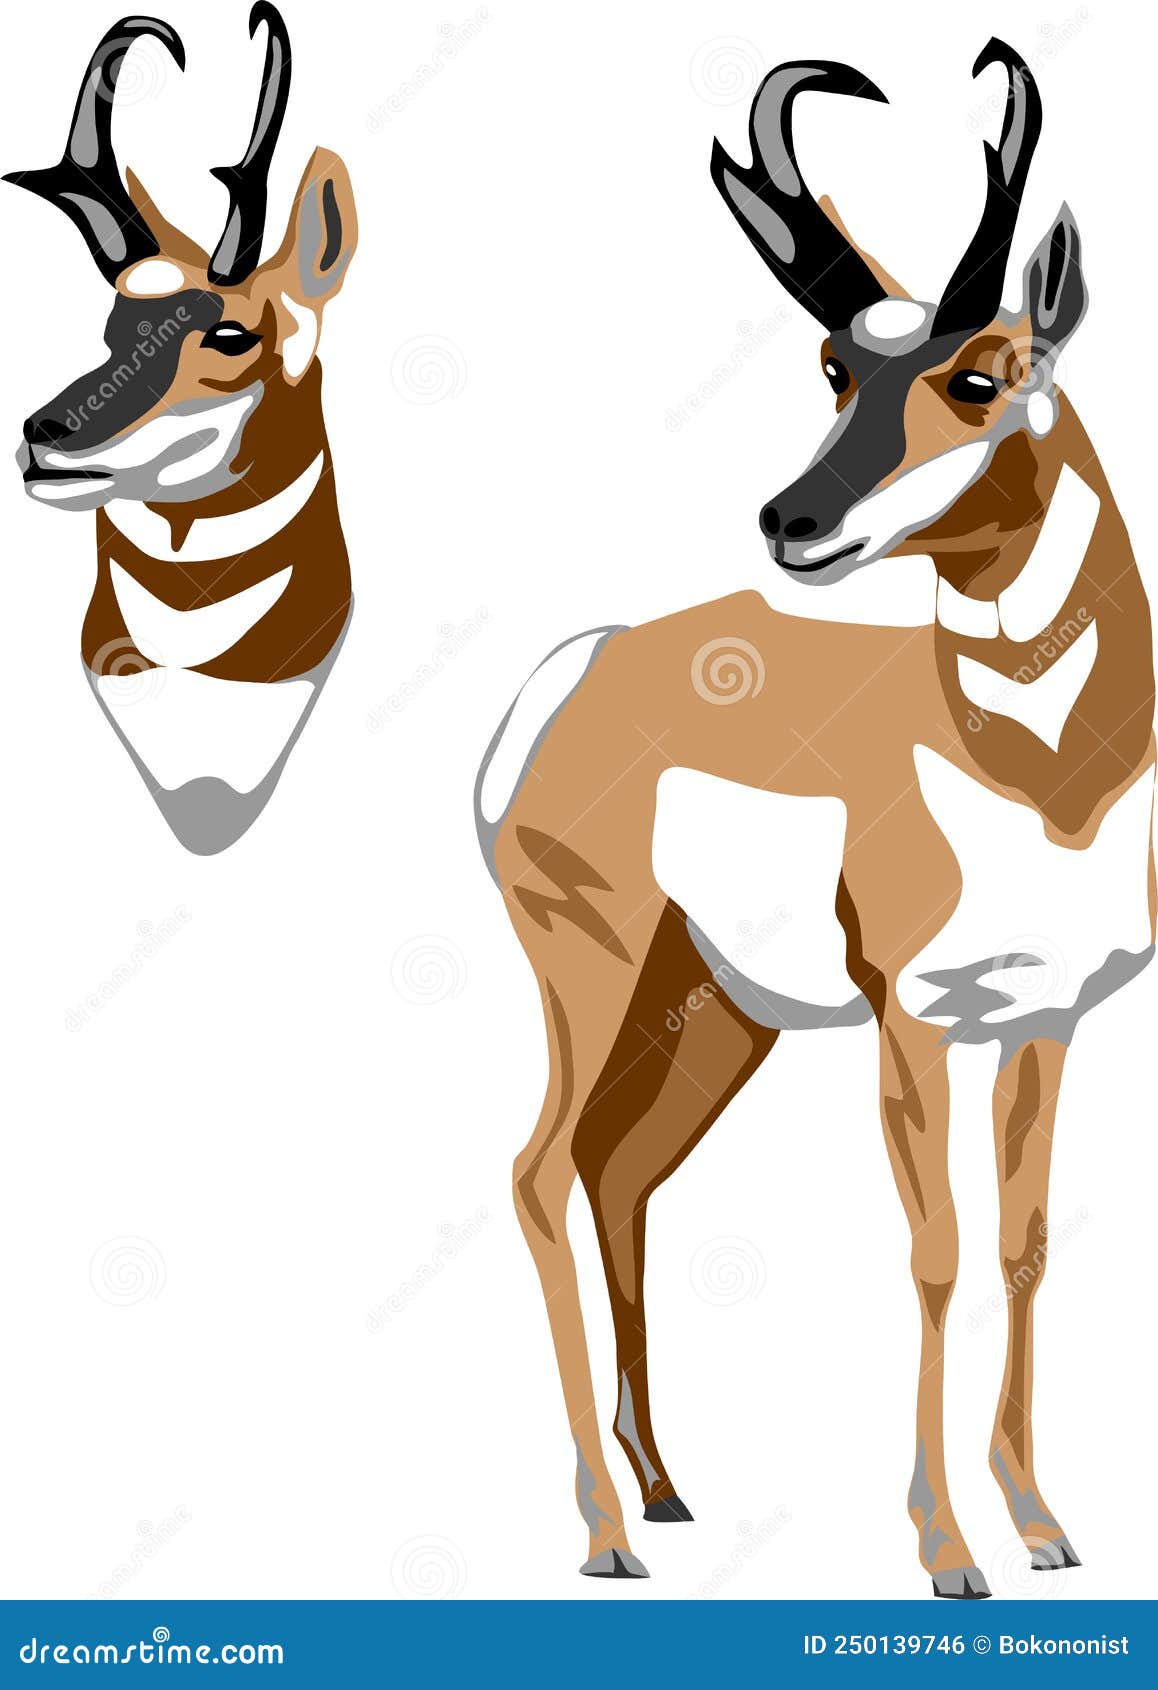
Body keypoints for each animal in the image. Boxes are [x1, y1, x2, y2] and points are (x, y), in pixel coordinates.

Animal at [475, 41, 1155, 1595]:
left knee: (618, 1177)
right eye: (838, 367)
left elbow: (1024, 1245)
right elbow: (936, 1251)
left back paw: (667, 1491)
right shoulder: (914, 1019)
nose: (789, 520)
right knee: (539, 1173)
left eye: (979, 375)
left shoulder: (1045, 1019)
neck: (1039, 778)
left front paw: (1043, 1525)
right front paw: (947, 1552)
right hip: (594, 971)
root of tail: (579, 663)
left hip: (712, 1013)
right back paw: (605, 1533)